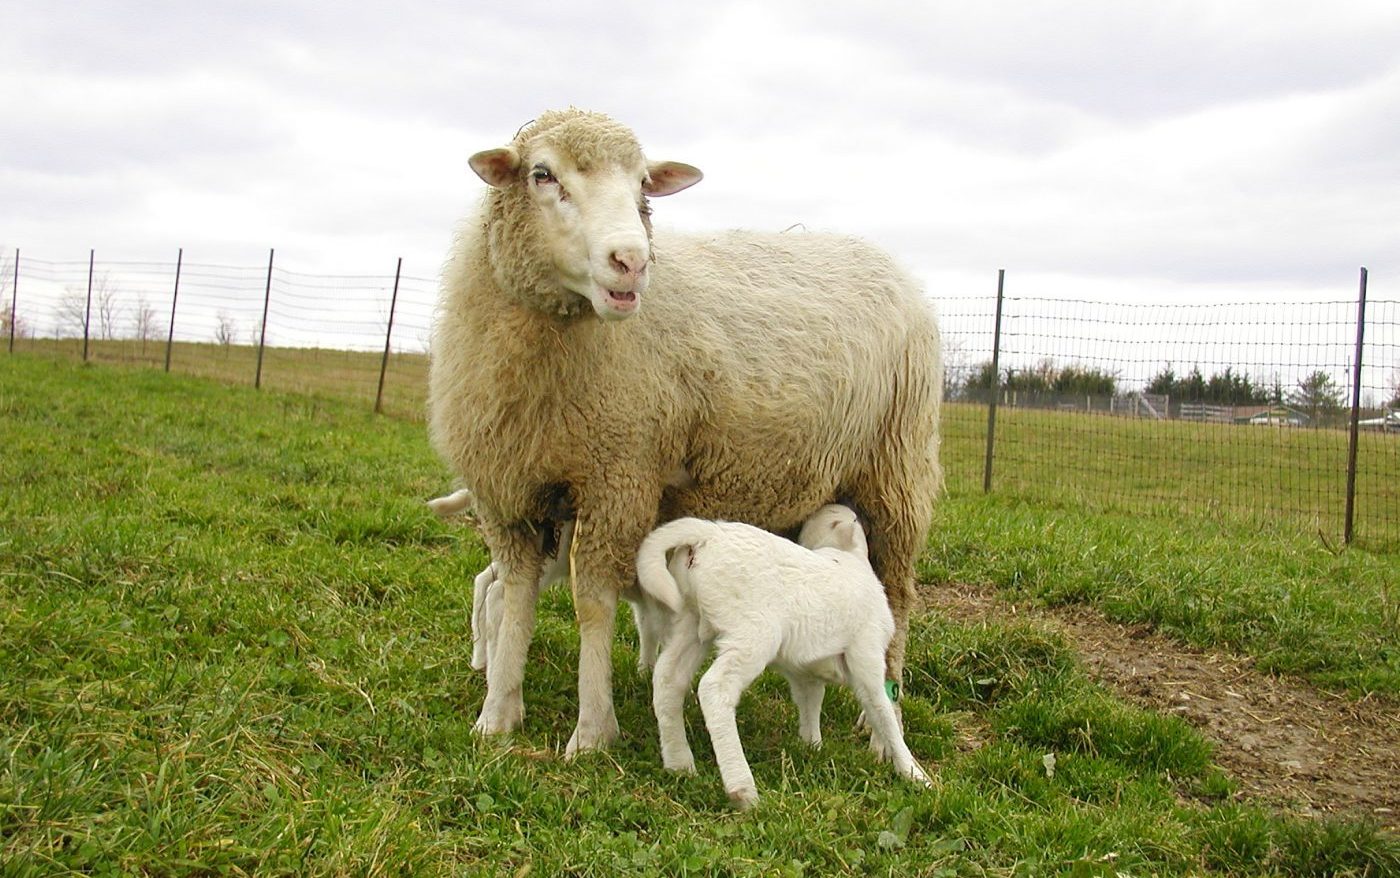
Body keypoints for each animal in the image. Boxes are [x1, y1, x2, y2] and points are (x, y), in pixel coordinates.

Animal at [428, 108, 942, 756]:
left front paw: (591, 732)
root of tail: (889, 262)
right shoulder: (506, 491)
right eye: (542, 173)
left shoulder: (619, 475)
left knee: (896, 594)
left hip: (896, 471)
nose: (631, 261)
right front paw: (497, 714)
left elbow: (592, 605)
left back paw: (882, 725)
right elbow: (516, 597)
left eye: (643, 184)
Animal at [636, 504, 931, 808]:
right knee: (715, 688)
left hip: (692, 622)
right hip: (753, 632)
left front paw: (812, 748)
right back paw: (742, 788)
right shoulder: (867, 652)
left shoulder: (807, 672)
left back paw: (679, 763)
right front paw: (915, 774)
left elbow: (811, 704)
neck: (847, 556)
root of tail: (706, 534)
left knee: (668, 679)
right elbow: (882, 710)